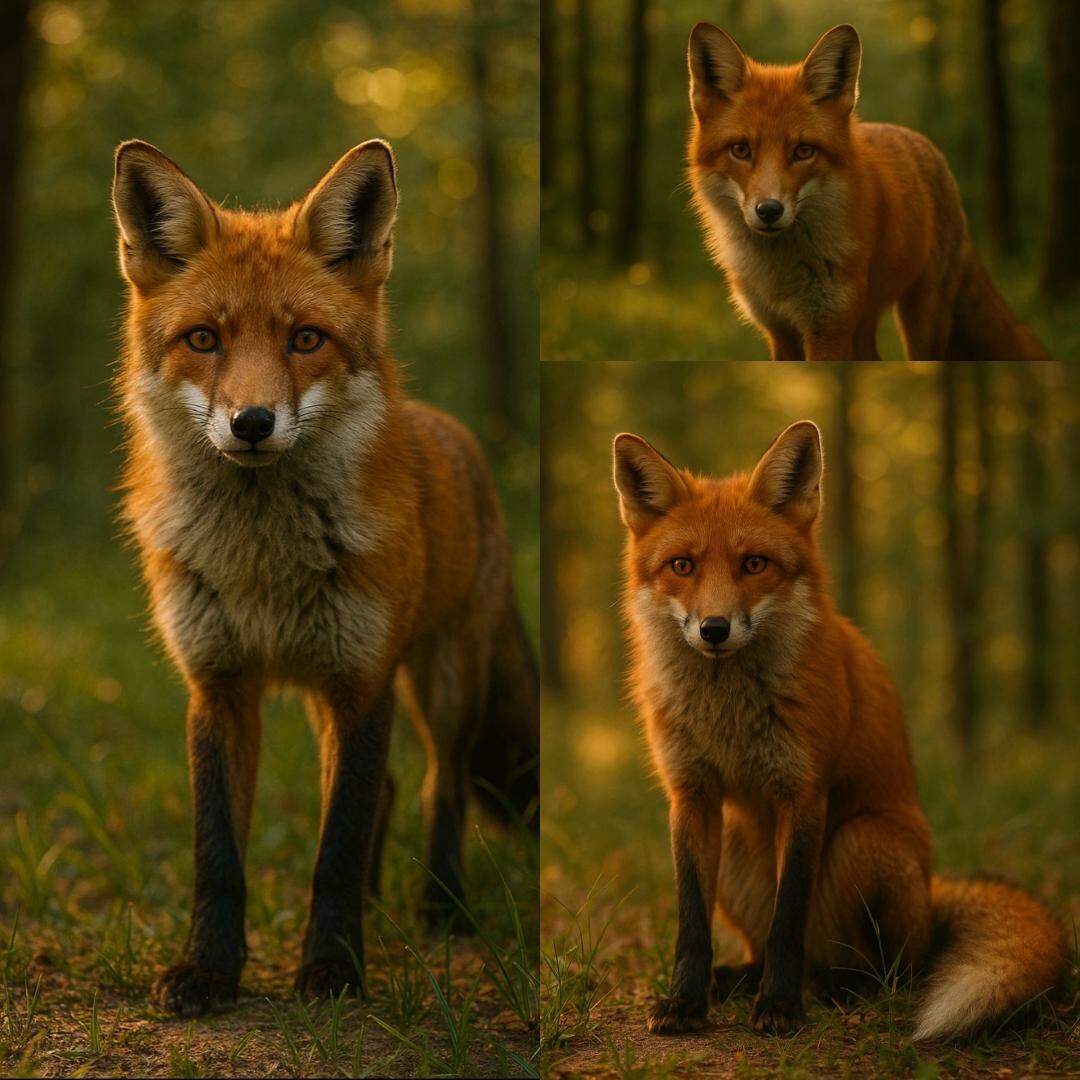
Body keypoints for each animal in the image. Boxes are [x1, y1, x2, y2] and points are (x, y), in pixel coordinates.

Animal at [111, 139, 539, 1016]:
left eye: (305, 339)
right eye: (204, 339)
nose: (252, 422)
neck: (261, 566)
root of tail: (451, 432)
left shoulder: (362, 681)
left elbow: (334, 848)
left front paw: (335, 967)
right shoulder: (220, 685)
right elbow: (219, 853)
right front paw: (209, 970)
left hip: (443, 681)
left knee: (437, 787)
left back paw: (440, 907)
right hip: (325, 699)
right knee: (386, 792)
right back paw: (383, 904)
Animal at [613, 420, 1066, 1040]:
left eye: (754, 564)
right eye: (683, 566)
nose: (714, 628)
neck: (729, 716)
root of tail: (933, 899)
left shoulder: (804, 791)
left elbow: (788, 917)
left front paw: (780, 1008)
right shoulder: (692, 796)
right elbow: (691, 924)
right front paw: (686, 1003)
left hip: (862, 842)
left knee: (891, 968)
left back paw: (838, 988)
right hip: (735, 845)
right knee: (769, 948)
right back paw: (743, 979)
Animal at [687, 23, 1050, 361]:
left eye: (804, 151)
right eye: (741, 150)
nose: (769, 210)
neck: (781, 275)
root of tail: (920, 141)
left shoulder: (830, 328)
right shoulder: (780, 333)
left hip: (921, 322)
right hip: (864, 322)